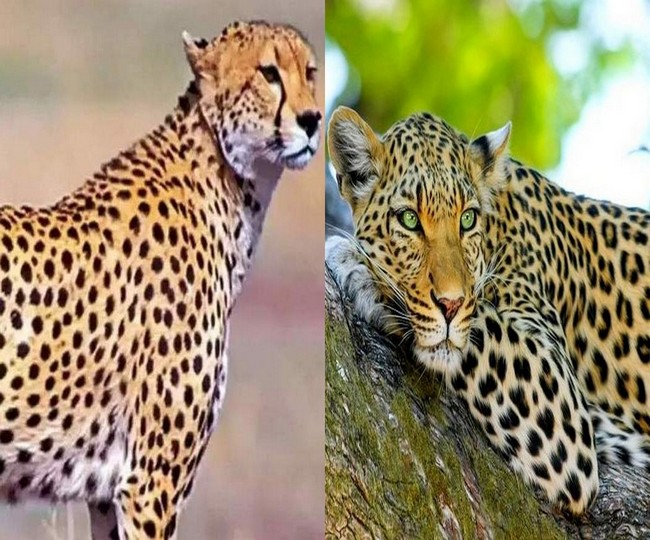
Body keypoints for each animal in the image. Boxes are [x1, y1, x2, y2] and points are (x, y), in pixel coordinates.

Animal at [325, 106, 650, 515]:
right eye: (409, 220)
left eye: (467, 219)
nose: (450, 304)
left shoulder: (561, 404)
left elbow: (479, 322)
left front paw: (357, 264)